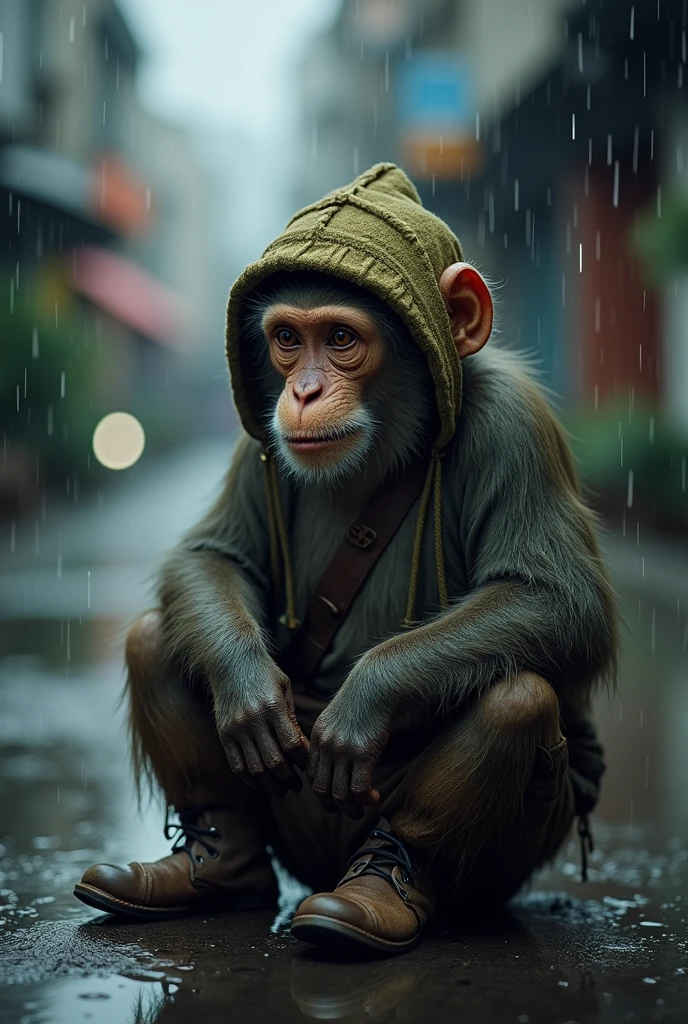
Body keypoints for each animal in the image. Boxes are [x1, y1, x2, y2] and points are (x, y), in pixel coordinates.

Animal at [74, 163, 618, 955]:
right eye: (286, 340)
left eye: (339, 337)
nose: (302, 391)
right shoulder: (257, 441)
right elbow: (214, 556)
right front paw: (244, 683)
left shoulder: (515, 423)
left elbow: (558, 598)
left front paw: (366, 696)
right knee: (154, 635)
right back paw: (214, 867)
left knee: (516, 697)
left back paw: (374, 893)